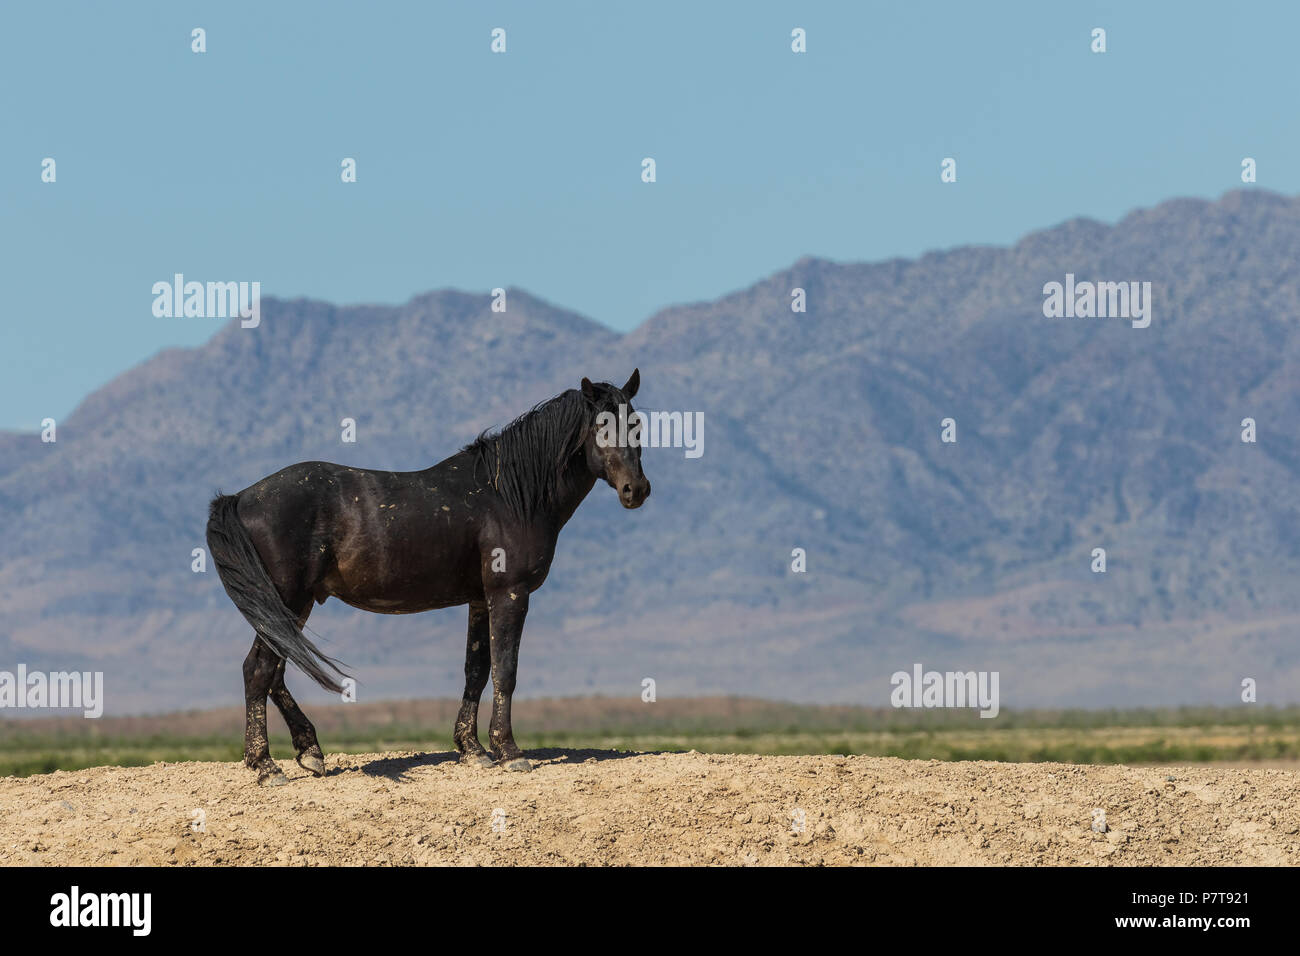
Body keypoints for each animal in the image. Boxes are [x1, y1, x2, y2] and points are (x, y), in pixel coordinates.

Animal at [205, 370, 650, 785]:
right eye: (601, 426)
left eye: (637, 423)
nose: (637, 490)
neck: (509, 495)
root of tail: (241, 498)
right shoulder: (510, 593)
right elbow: (505, 670)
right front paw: (509, 751)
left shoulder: (479, 599)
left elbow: (477, 669)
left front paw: (472, 749)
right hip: (288, 598)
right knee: (258, 670)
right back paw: (265, 765)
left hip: (291, 606)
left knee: (275, 672)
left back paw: (309, 751)